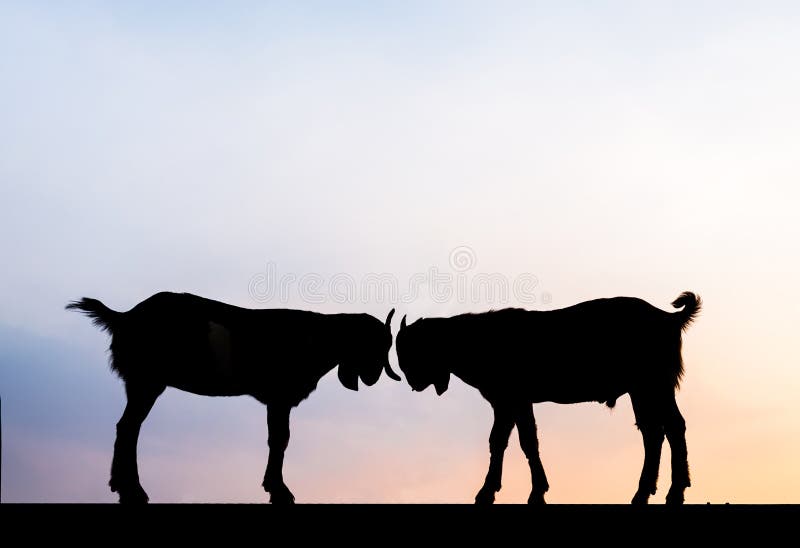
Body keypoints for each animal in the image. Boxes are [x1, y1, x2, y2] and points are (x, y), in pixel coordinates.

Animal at [67, 292, 399, 503]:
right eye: (376, 345)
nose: (373, 377)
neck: (316, 339)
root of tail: (123, 317)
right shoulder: (279, 397)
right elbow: (280, 439)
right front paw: (279, 490)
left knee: (127, 426)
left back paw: (121, 485)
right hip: (147, 381)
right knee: (129, 426)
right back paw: (132, 490)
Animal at [396, 292, 701, 505]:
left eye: (412, 351)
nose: (413, 383)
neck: (477, 339)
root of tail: (669, 318)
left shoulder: (511, 400)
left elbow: (516, 441)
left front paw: (514, 492)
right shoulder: (512, 403)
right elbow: (511, 441)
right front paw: (509, 490)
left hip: (654, 385)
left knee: (672, 427)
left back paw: (674, 491)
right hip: (643, 390)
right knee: (654, 432)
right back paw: (645, 491)